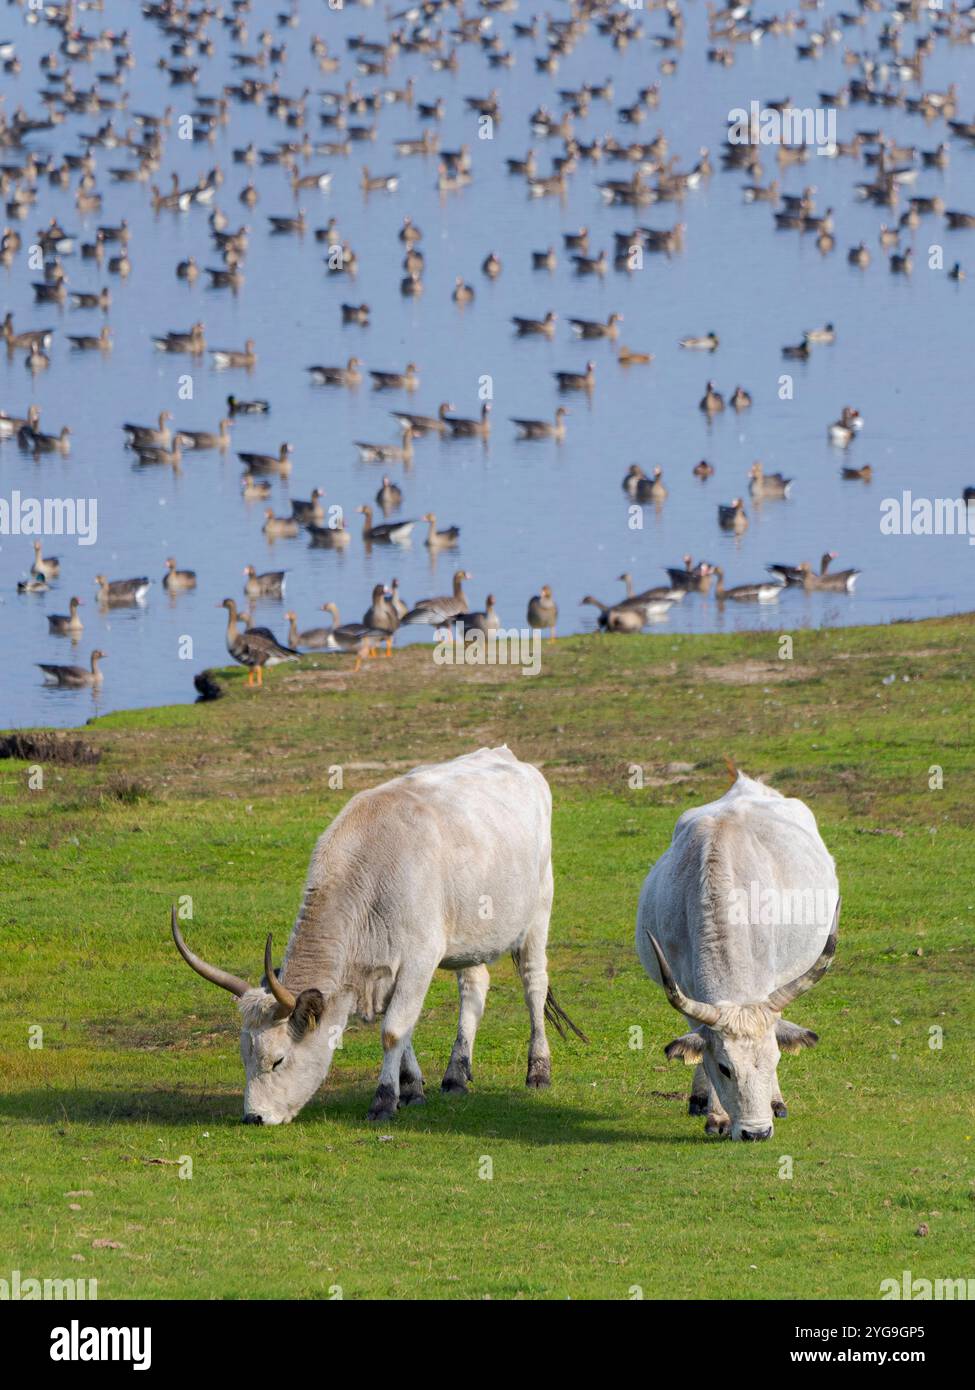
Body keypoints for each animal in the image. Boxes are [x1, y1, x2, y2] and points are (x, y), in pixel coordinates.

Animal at [171, 746, 585, 1125]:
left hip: (538, 913)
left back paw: (538, 1069)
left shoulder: (419, 959)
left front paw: (385, 1100)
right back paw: (456, 1074)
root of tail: (509, 756)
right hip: (470, 934)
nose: (254, 1117)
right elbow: (406, 1028)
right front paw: (412, 1087)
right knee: (474, 987)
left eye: (278, 1060)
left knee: (534, 985)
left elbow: (394, 1030)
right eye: (244, 1057)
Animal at [635, 769, 838, 1141]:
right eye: (725, 1068)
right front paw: (716, 1114)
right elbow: (700, 1045)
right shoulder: (688, 988)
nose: (757, 1133)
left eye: (776, 1060)